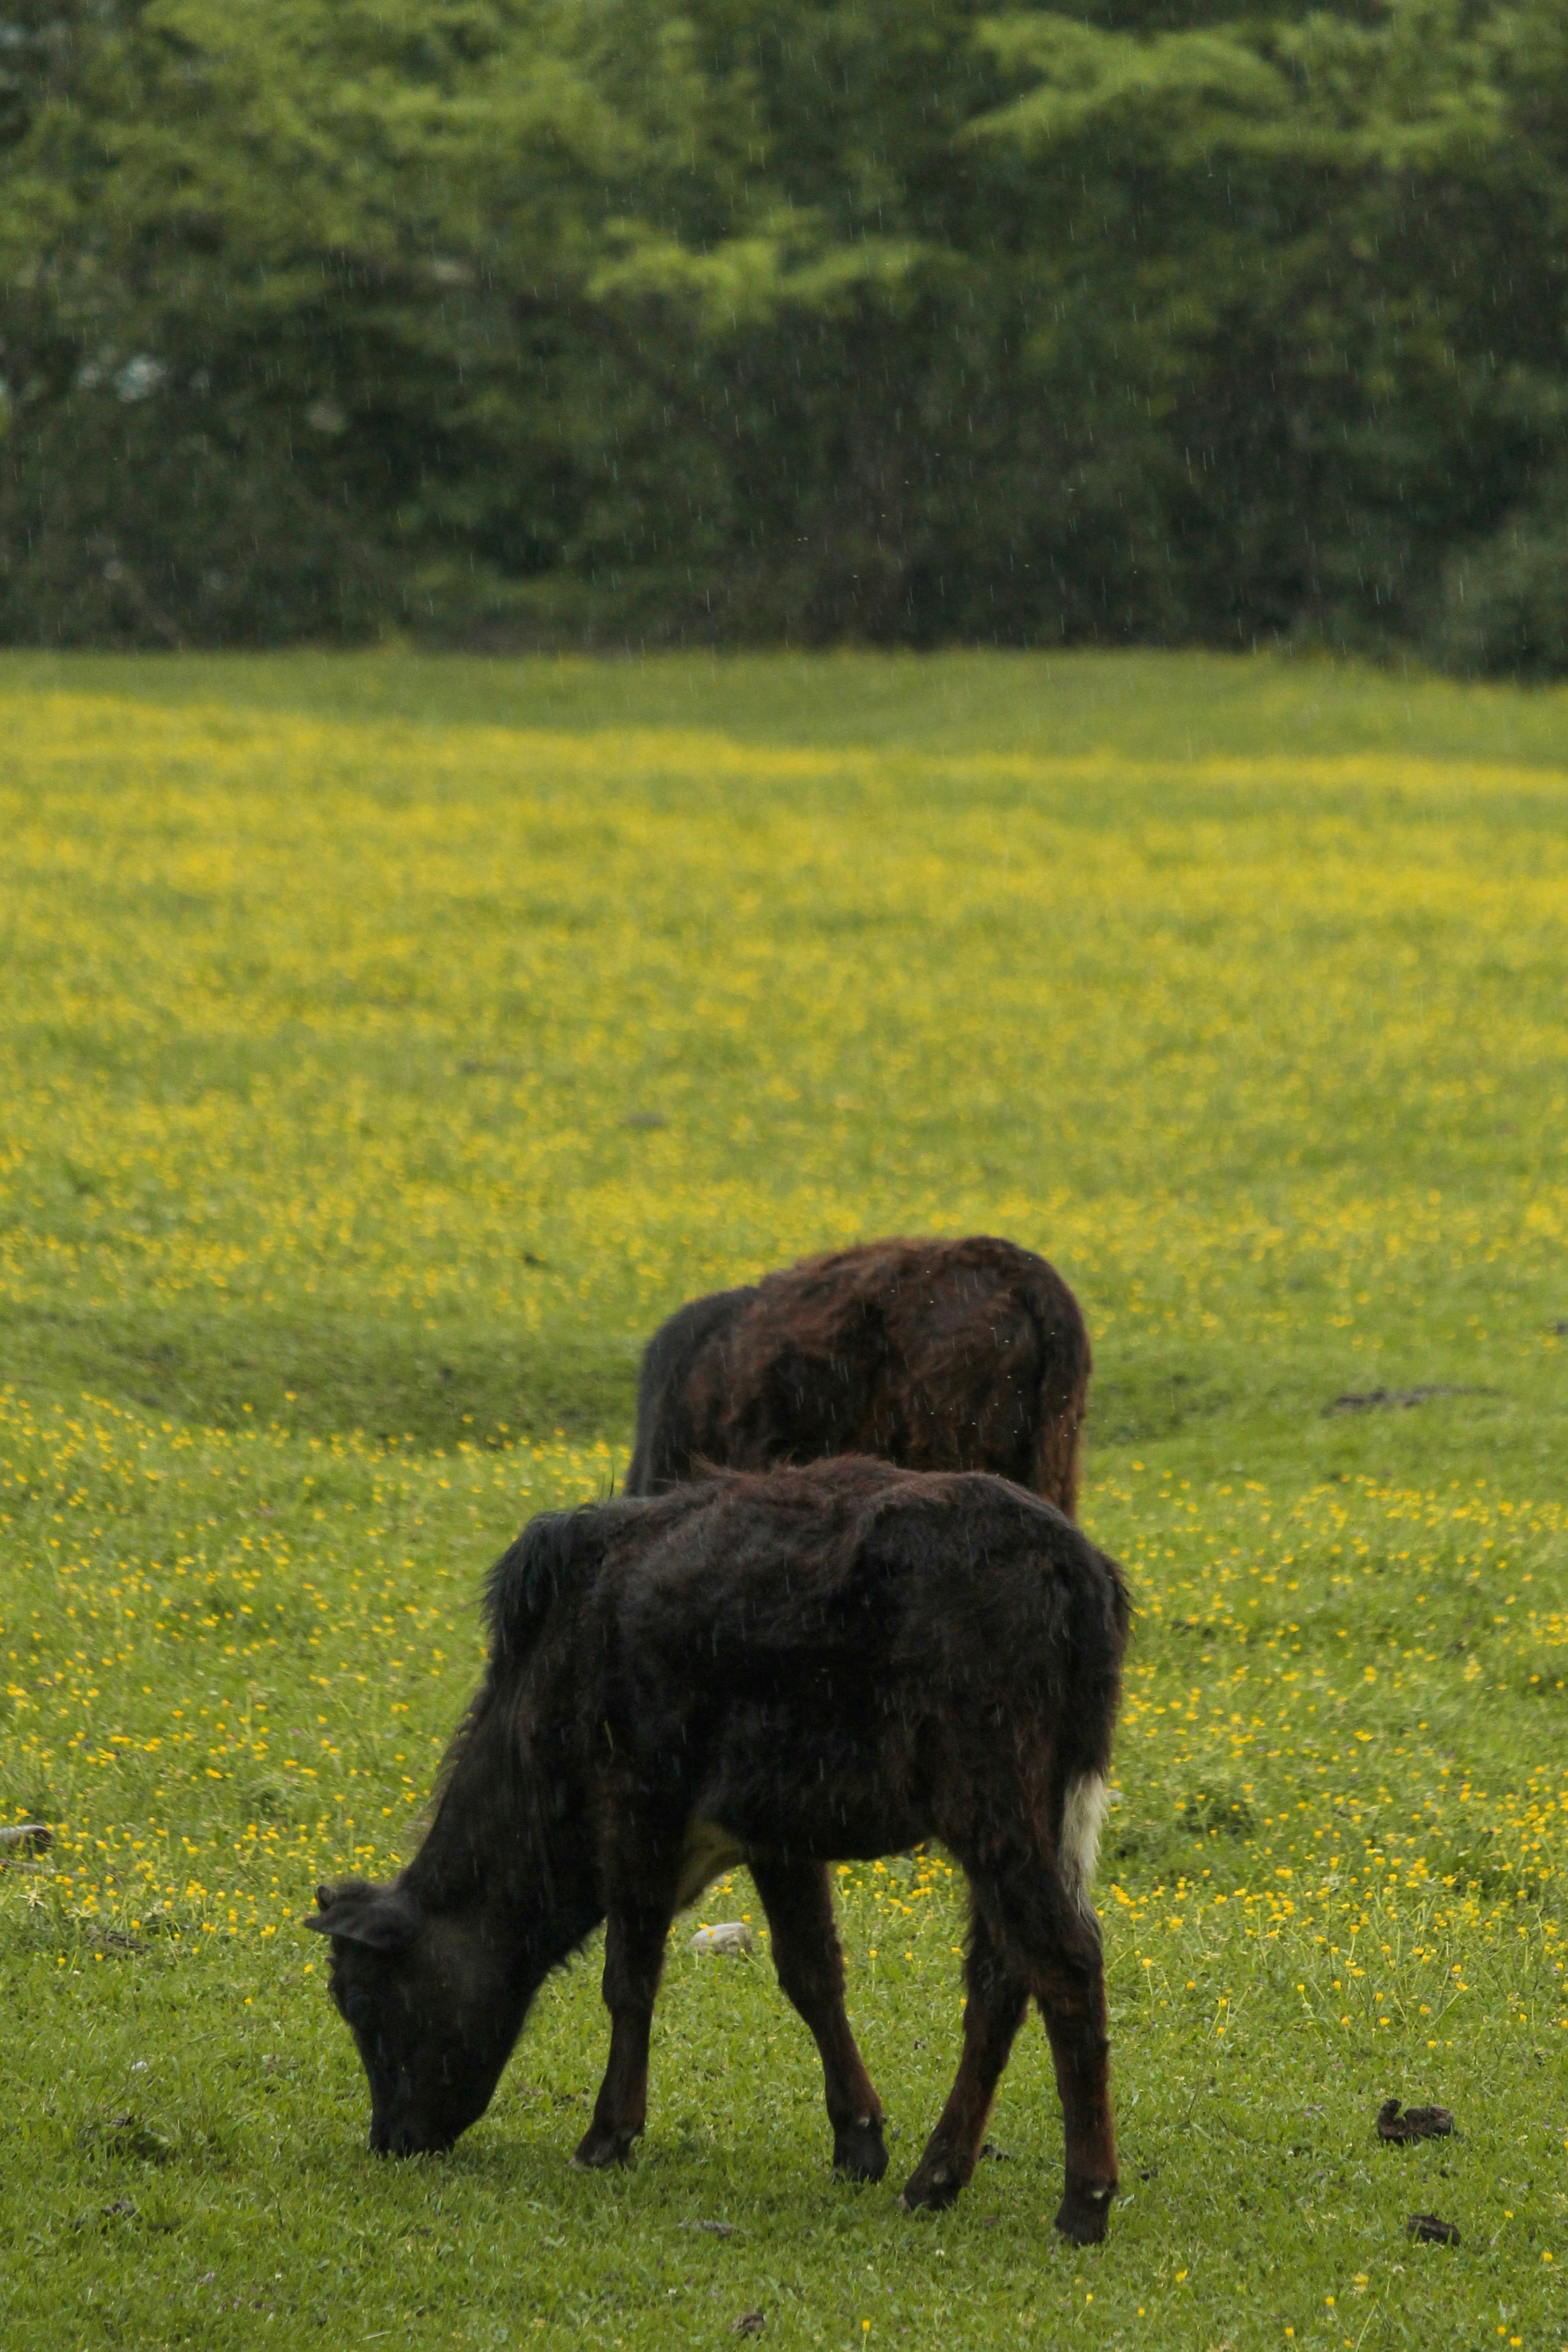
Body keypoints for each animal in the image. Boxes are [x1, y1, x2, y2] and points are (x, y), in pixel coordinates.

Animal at [308, 1457, 1129, 2244]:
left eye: (362, 1999)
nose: (392, 2138)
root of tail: (1071, 1558)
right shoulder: (775, 1831)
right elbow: (811, 1973)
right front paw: (858, 2140)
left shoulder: (638, 1802)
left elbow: (629, 1976)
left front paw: (607, 2135)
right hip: (1034, 1813)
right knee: (999, 1979)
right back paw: (936, 2177)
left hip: (991, 1804)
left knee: (1063, 1962)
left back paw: (1083, 2203)